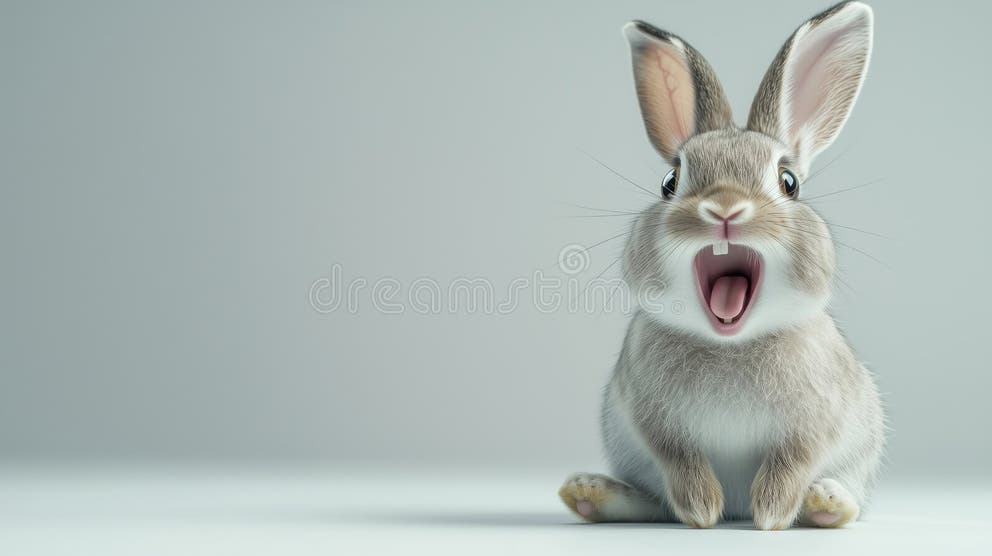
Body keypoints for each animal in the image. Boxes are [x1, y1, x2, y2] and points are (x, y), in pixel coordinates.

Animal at [558, 1, 884, 530]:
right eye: (670, 181)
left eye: (789, 182)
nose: (725, 208)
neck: (731, 344)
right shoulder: (652, 421)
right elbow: (679, 459)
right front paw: (702, 511)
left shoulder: (816, 420)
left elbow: (792, 461)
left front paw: (770, 515)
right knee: (653, 503)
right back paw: (589, 493)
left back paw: (825, 503)